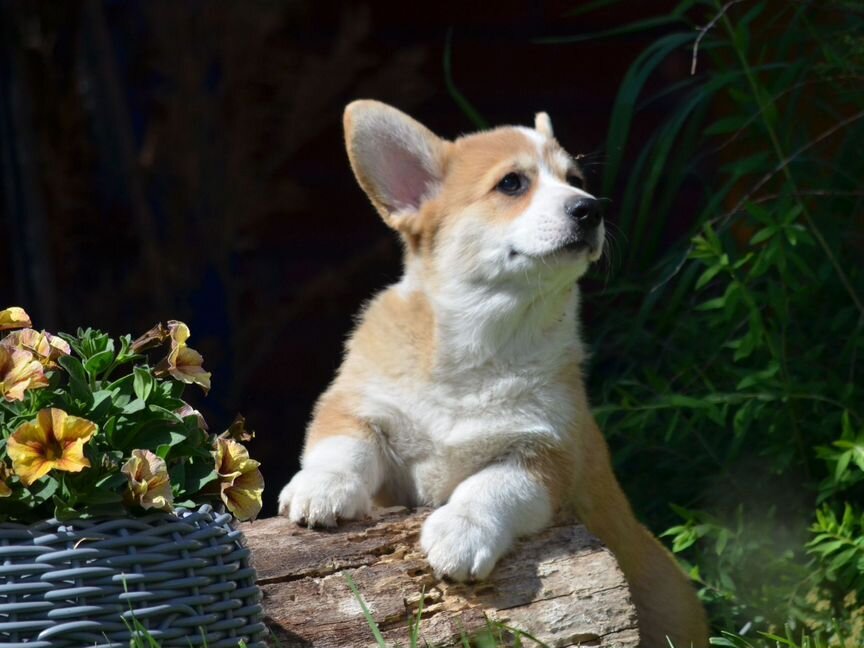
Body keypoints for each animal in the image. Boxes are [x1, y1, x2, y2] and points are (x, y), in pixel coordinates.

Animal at [278, 101, 708, 648]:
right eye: (512, 184)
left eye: (575, 180)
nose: (591, 208)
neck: (483, 341)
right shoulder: (354, 403)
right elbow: (344, 445)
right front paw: (321, 488)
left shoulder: (542, 455)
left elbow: (490, 487)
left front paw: (460, 531)